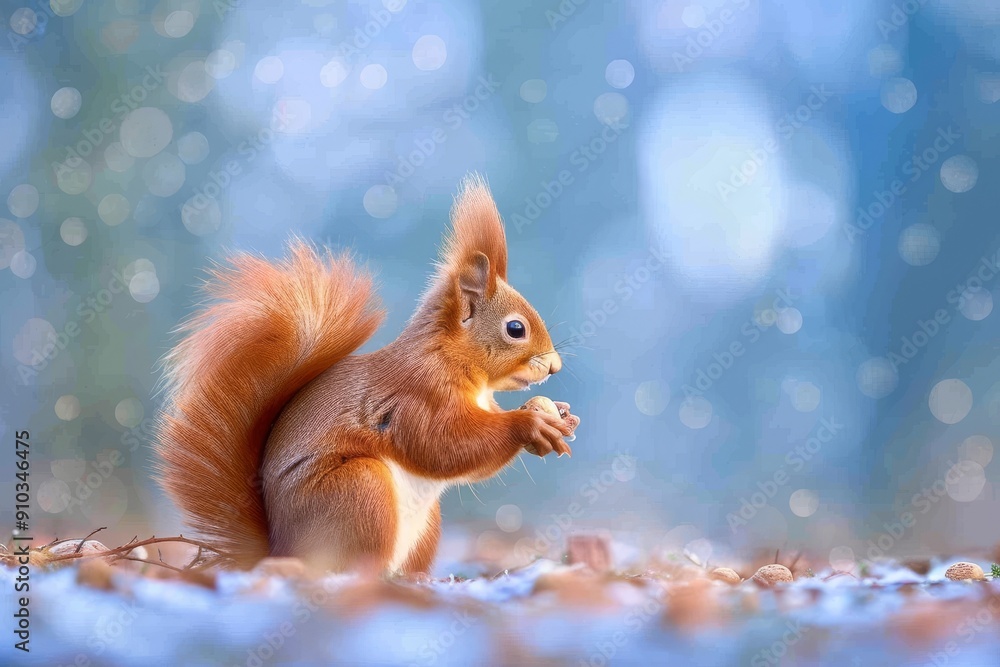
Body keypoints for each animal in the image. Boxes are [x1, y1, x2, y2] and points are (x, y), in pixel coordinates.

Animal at [154, 175, 580, 574]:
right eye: (515, 329)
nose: (555, 365)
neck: (452, 358)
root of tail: (280, 549)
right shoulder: (418, 394)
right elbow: (444, 444)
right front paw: (529, 424)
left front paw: (559, 414)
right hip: (360, 489)